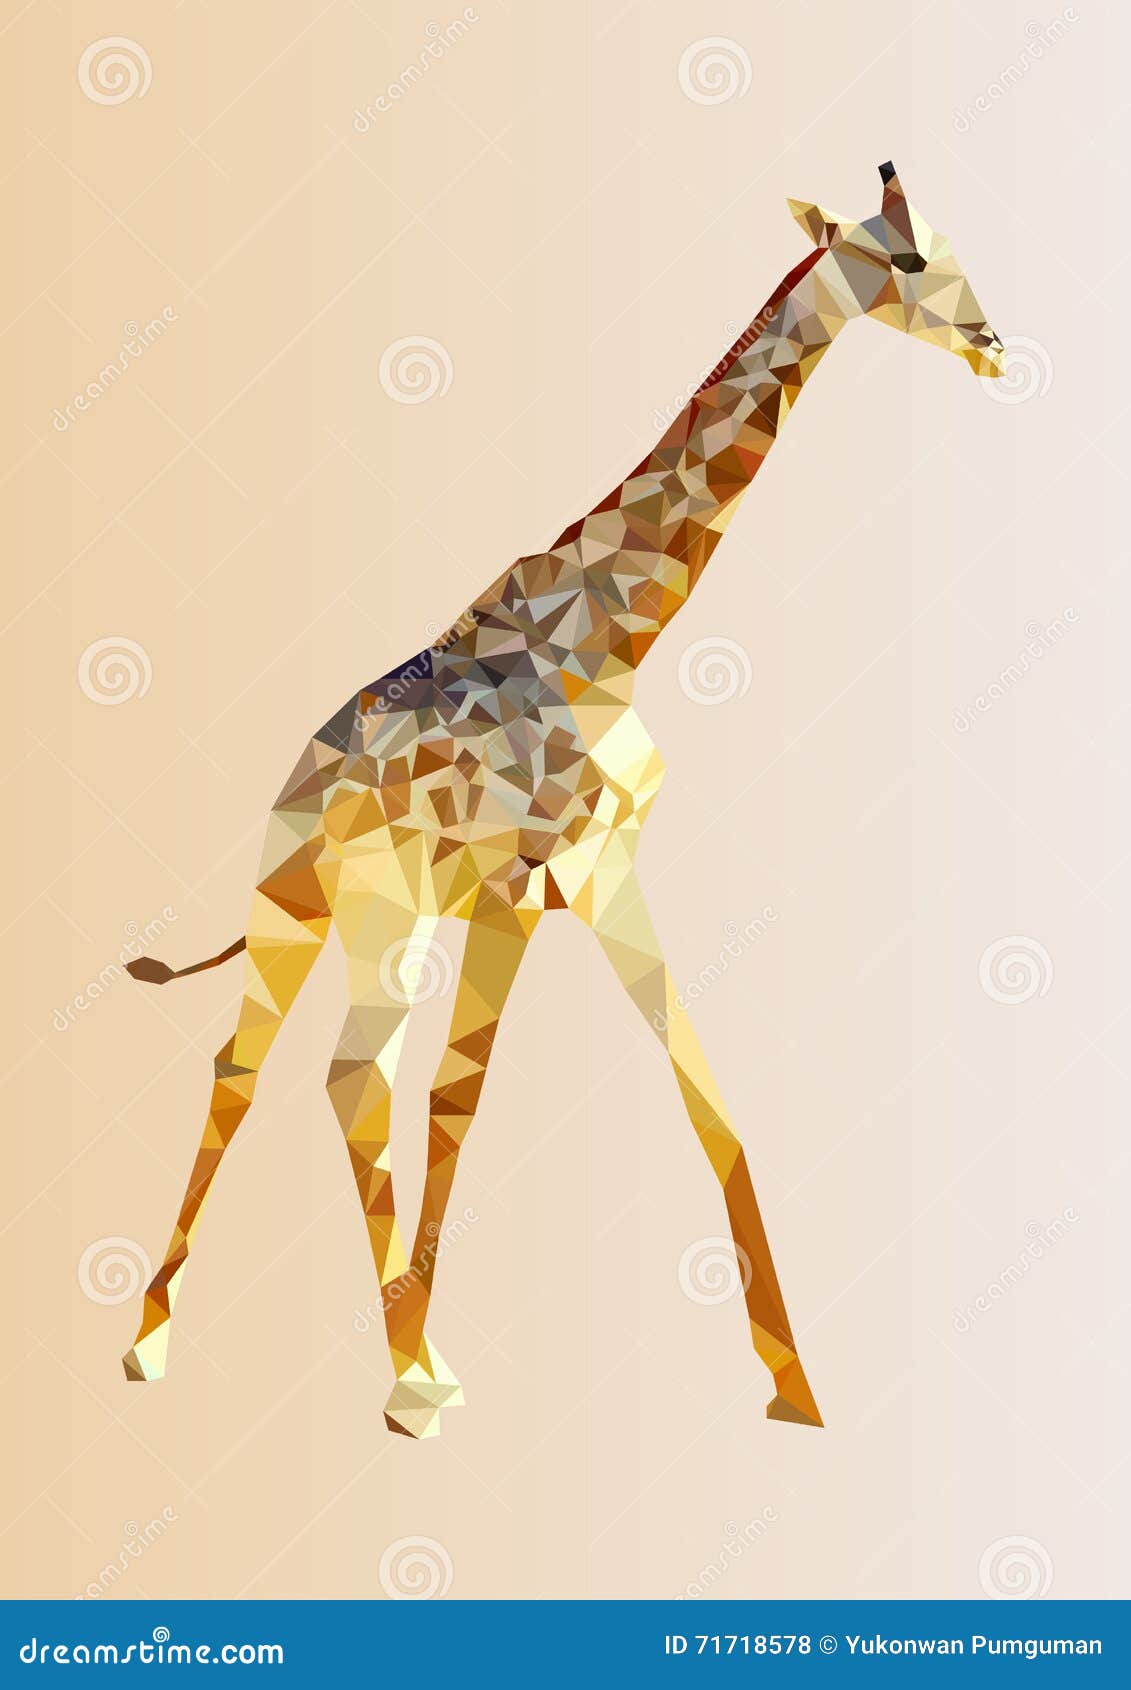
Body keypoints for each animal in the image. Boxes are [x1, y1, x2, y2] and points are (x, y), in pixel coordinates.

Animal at [122, 166, 1005, 1437]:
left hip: (379, 921)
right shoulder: (515, 889)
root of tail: (295, 777)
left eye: (949, 241)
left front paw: (795, 1387)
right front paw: (415, 1383)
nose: (993, 345)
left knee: (344, 1078)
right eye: (905, 260)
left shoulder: (602, 878)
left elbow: (711, 1104)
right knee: (277, 1074)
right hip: (316, 906)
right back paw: (186, 1347)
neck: (612, 639)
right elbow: (457, 1104)